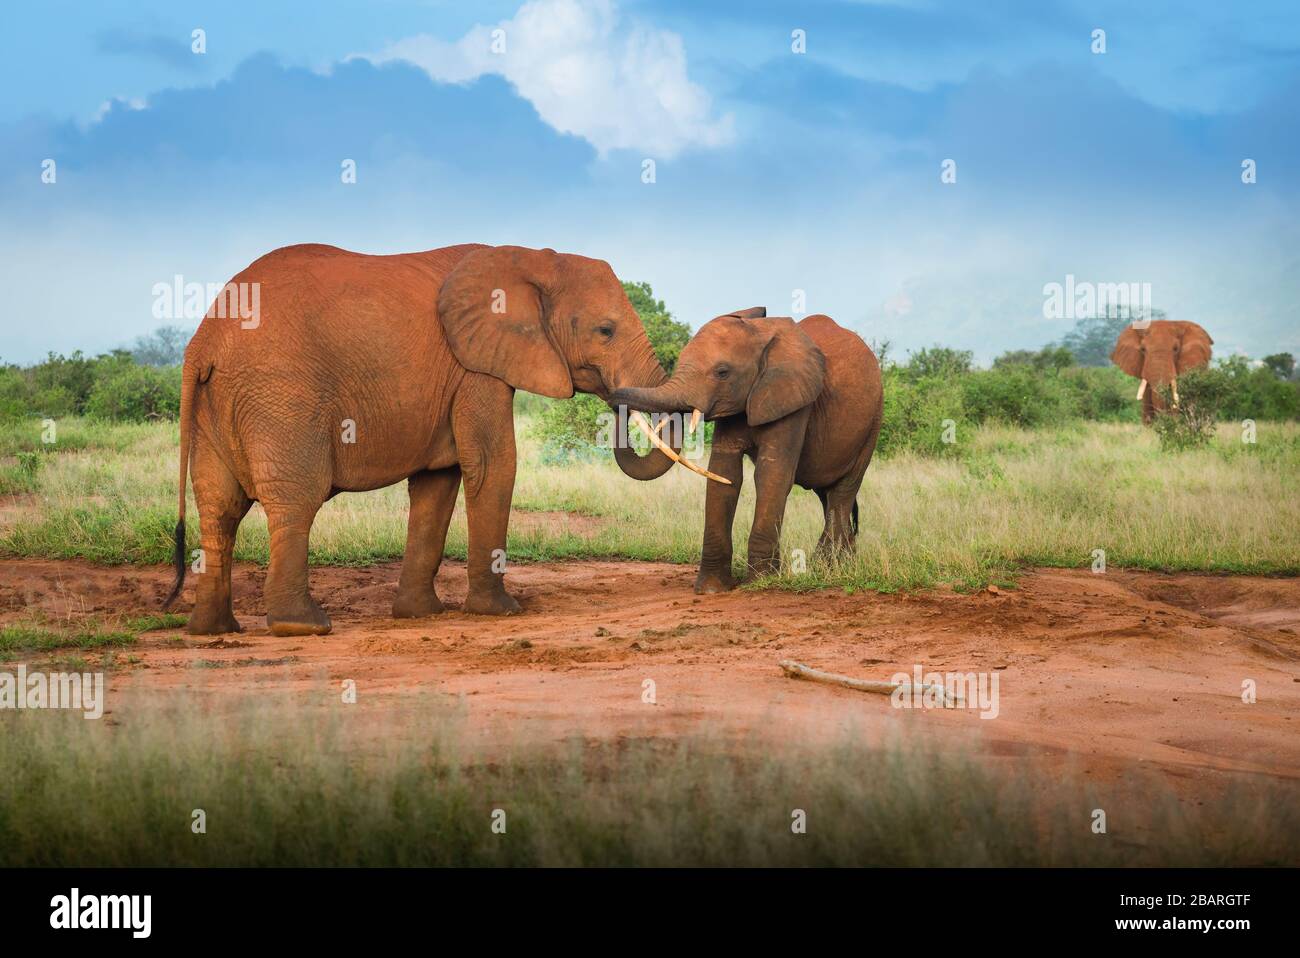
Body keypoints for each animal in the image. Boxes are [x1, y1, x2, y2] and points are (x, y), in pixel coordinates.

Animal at [163, 243, 678, 635]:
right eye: (605, 330)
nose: (619, 405)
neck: (532, 259)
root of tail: (203, 341)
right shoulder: (476, 369)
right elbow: (493, 466)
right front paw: (499, 612)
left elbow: (438, 483)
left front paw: (419, 615)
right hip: (281, 395)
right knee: (295, 499)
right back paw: (303, 627)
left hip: (217, 407)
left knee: (219, 508)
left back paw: (211, 630)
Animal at [609, 308, 883, 593]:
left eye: (722, 372)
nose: (615, 402)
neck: (759, 334)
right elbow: (725, 475)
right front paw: (711, 590)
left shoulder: (793, 401)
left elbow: (771, 474)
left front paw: (762, 582)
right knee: (826, 494)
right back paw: (839, 565)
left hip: (873, 423)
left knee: (843, 492)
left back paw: (826, 567)